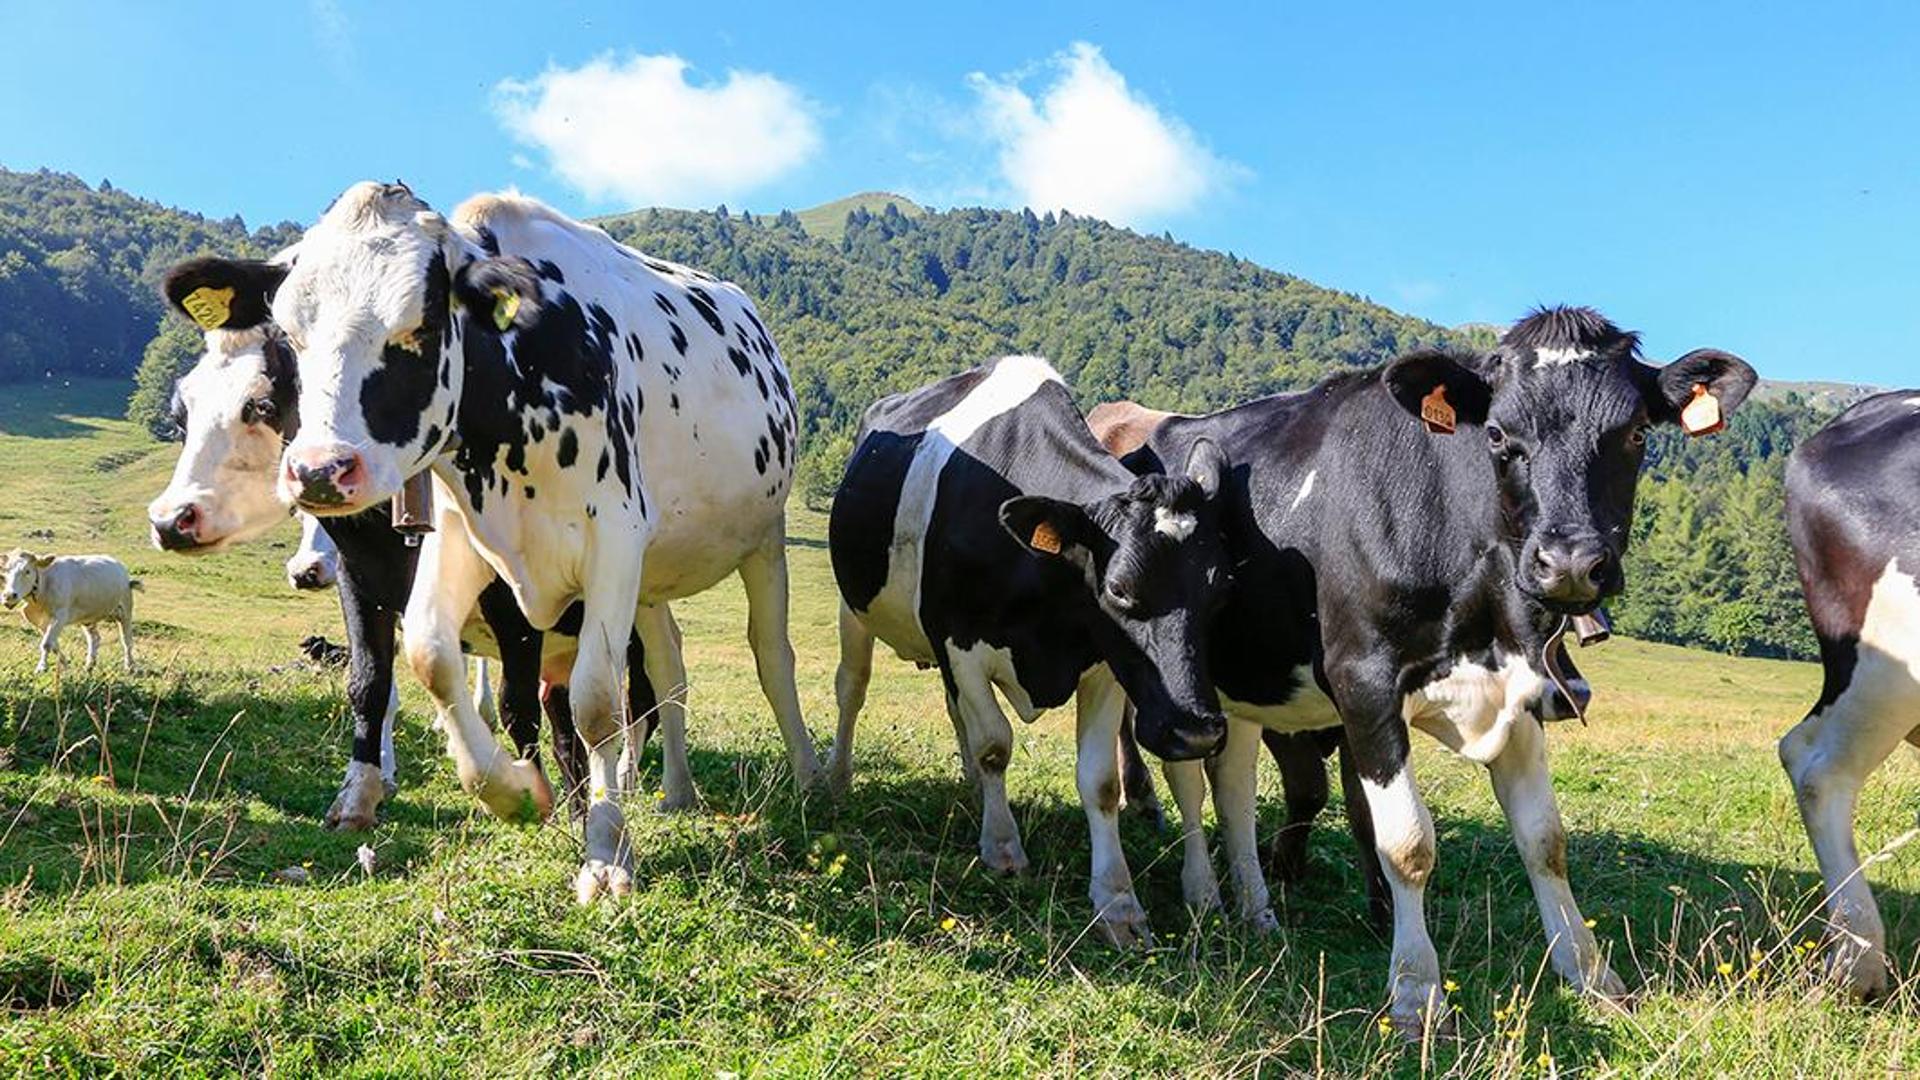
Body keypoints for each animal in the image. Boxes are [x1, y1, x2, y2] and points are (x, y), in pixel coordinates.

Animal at [2, 551, 139, 672]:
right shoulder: (39, 621)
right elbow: (53, 644)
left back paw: (130, 666)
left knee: (127, 640)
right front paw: (65, 664)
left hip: (125, 610)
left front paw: (41, 667)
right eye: (5, 572)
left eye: (27, 571)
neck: (43, 584)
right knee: (94, 638)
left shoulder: (60, 616)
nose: (9, 596)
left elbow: (46, 643)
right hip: (89, 618)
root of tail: (119, 565)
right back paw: (89, 665)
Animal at [145, 318, 601, 828]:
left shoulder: (516, 607)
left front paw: (525, 792)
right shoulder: (363, 584)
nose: (171, 520)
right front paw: (358, 796)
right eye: (181, 415)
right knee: (566, 716)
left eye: (261, 405)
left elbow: (515, 706)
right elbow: (369, 685)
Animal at [827, 355, 1231, 944]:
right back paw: (835, 779)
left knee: (955, 714)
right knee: (852, 690)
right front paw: (1003, 847)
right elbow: (995, 744)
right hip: (854, 608)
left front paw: (1118, 902)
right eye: (1117, 590)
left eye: (1220, 587)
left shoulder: (1102, 666)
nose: (1196, 732)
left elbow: (1099, 781)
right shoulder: (960, 643)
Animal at [1108, 306, 1754, 1035]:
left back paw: (1255, 909)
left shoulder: (1519, 690)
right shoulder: (1364, 685)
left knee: (1235, 785)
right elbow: (1407, 844)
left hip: (1247, 683)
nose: (1568, 564)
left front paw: (1591, 975)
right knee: (1188, 777)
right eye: (1498, 434)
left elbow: (1545, 840)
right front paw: (1418, 993)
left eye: (1636, 433)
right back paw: (1204, 891)